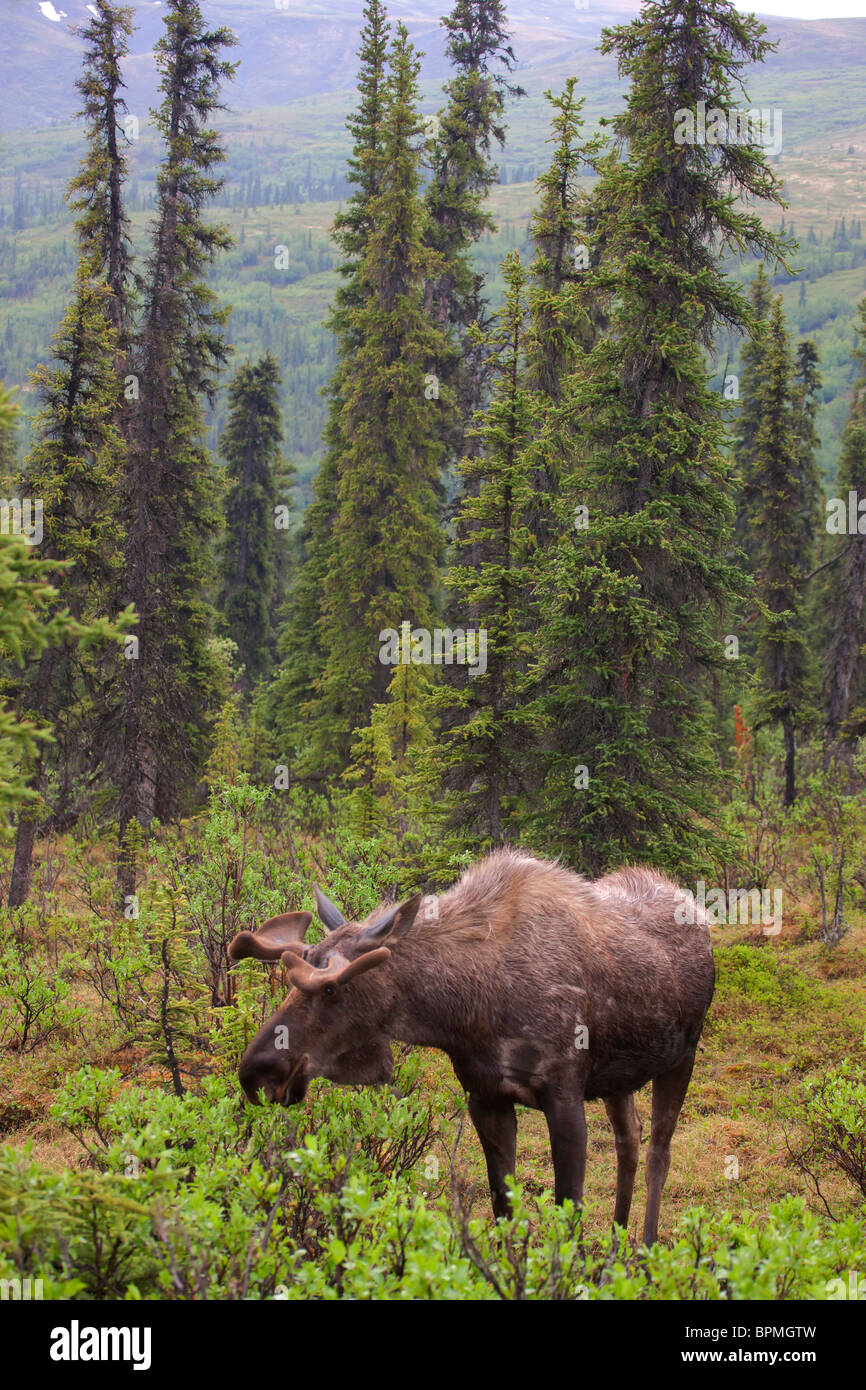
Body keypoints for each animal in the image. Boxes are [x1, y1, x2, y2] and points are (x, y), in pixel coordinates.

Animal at [228, 848, 715, 1245]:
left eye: (331, 989)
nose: (256, 1071)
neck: (468, 1009)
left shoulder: (564, 1093)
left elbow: (568, 1212)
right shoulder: (485, 1096)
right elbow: (504, 1209)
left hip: (682, 1057)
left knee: (658, 1152)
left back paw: (645, 1245)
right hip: (619, 1077)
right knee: (628, 1140)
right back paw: (615, 1244)